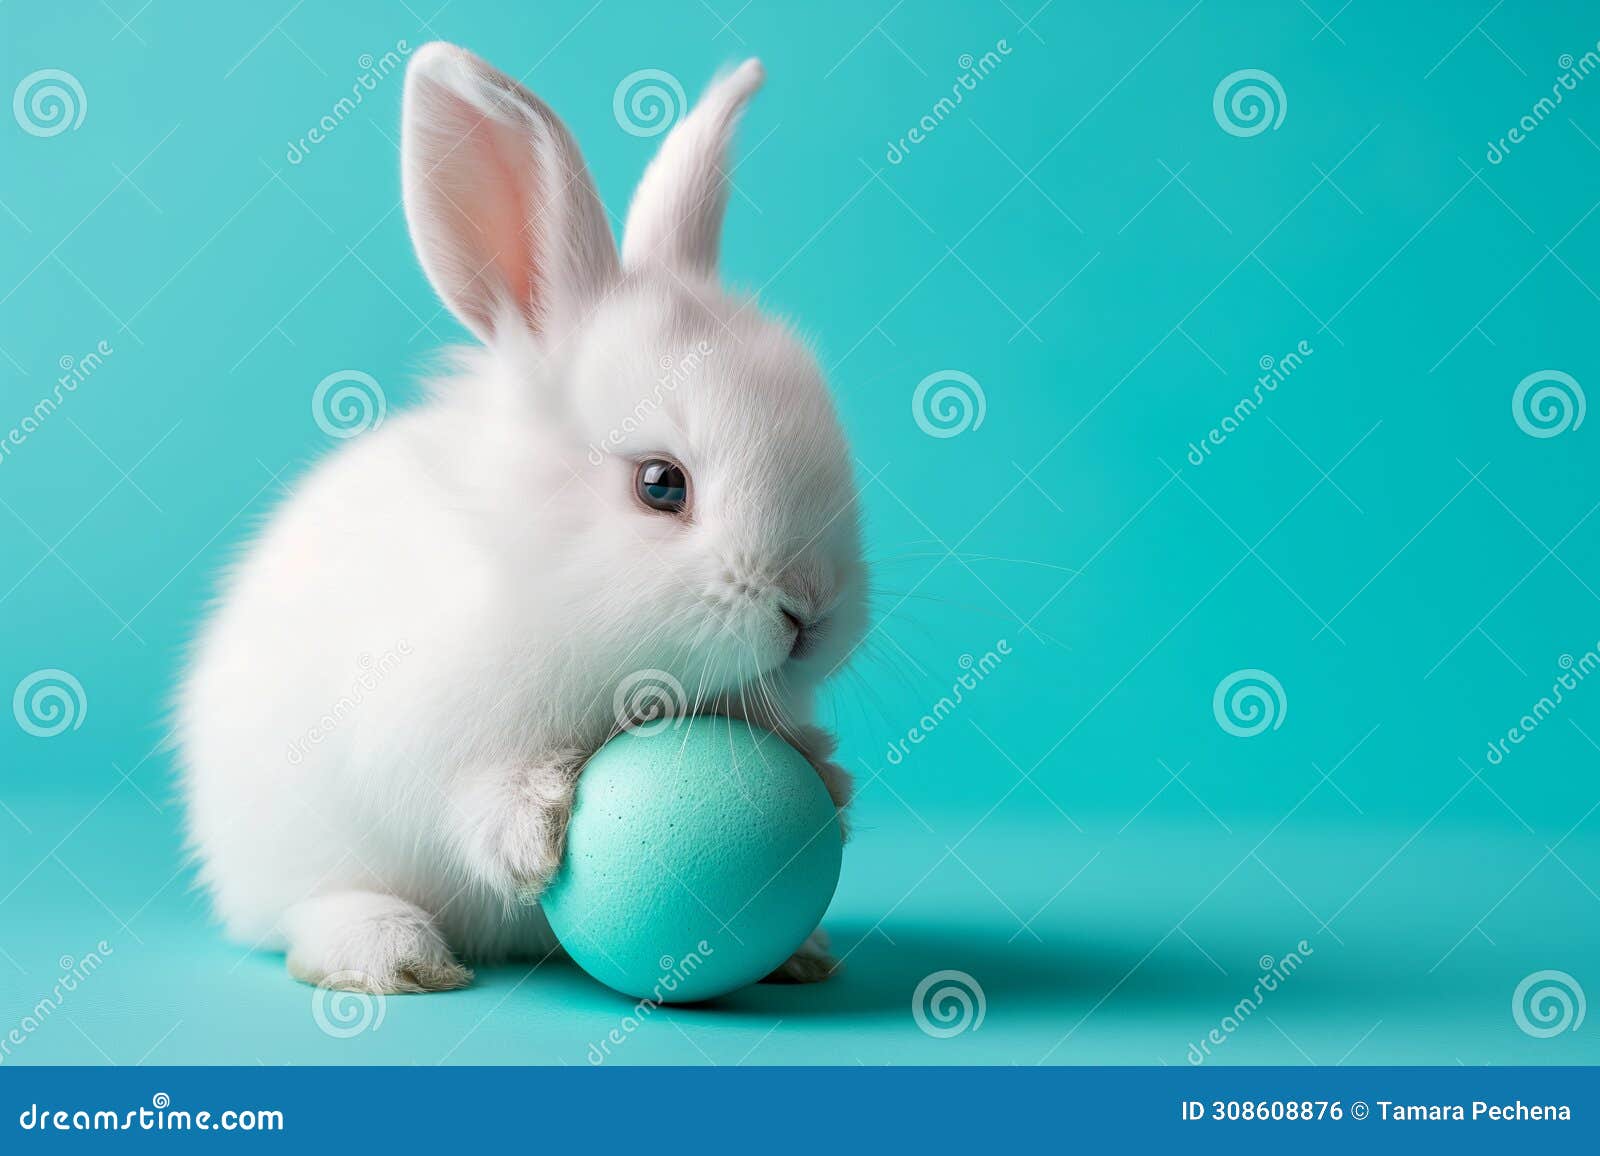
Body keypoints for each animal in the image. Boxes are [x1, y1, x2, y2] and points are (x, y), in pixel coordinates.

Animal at [177, 42, 866, 994]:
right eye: (661, 485)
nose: (812, 613)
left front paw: (830, 781)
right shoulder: (425, 726)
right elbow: (465, 792)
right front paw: (531, 834)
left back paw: (802, 957)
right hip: (288, 850)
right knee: (308, 911)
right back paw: (394, 957)